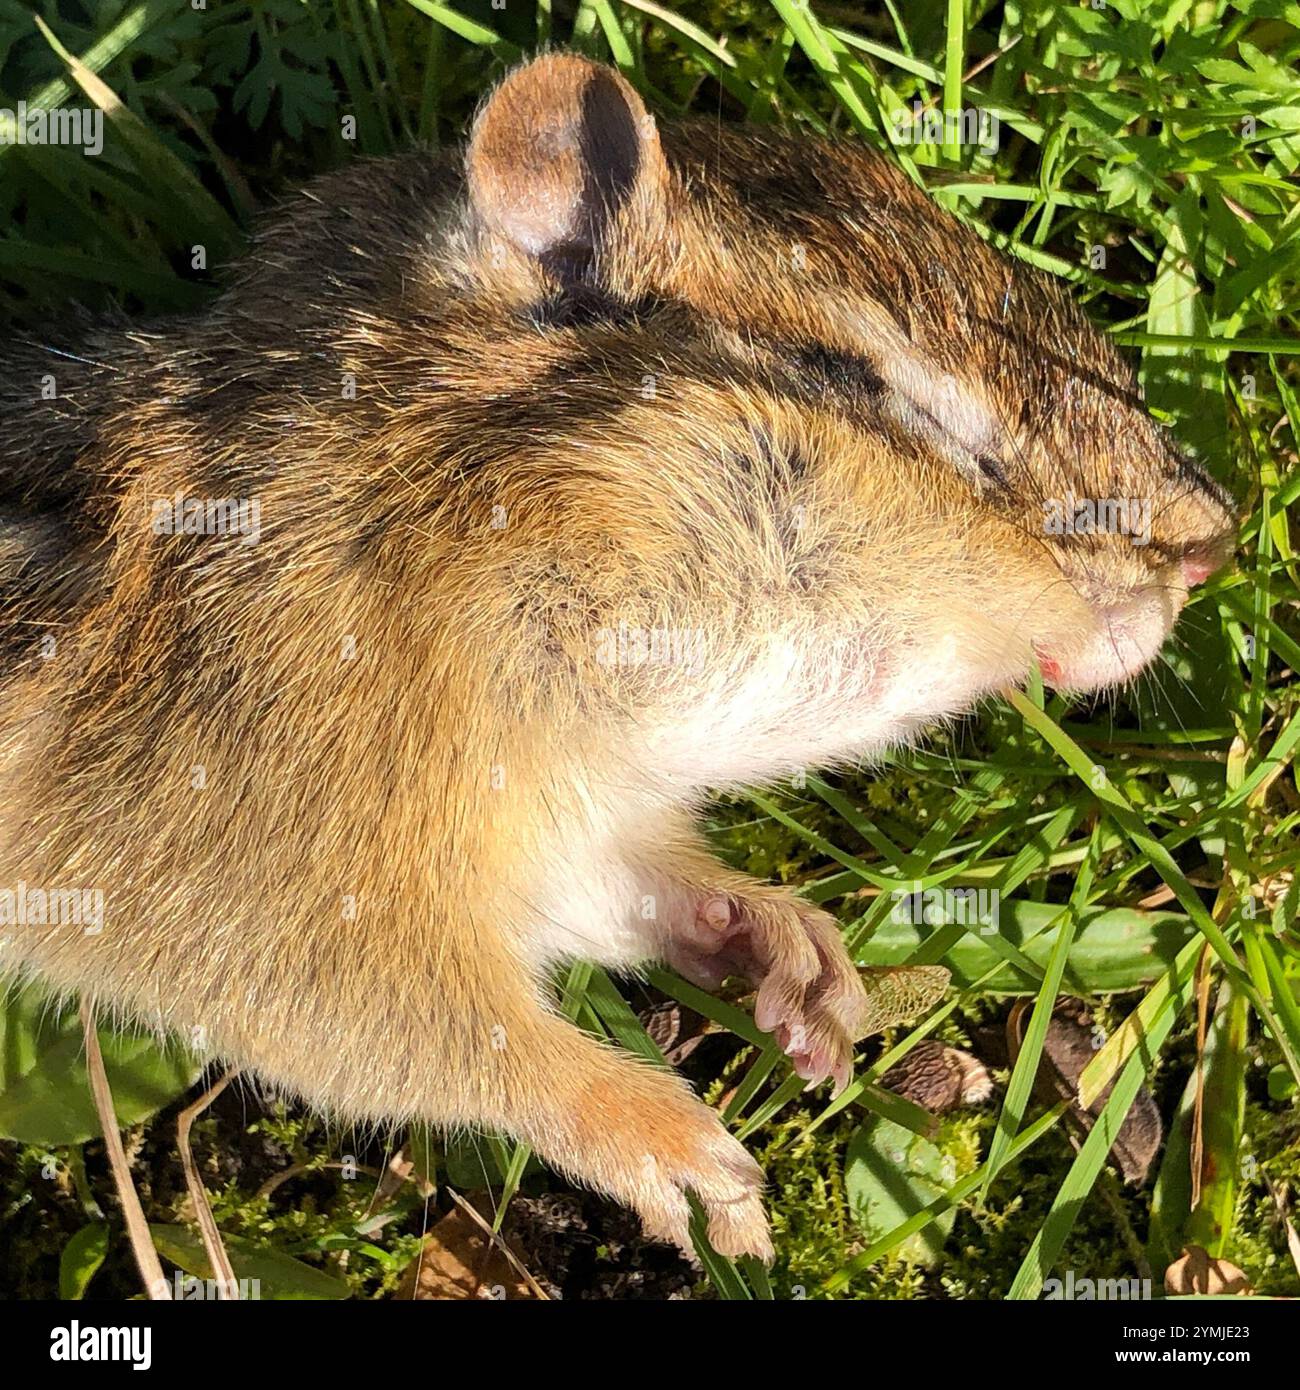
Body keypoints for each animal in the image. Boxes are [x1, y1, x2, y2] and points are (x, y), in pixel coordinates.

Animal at [0, 54, 1235, 1260]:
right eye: (846, 376)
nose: (1213, 543)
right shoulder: (265, 879)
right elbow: (418, 1035)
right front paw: (670, 1146)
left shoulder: (566, 822)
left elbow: (623, 889)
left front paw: (786, 947)